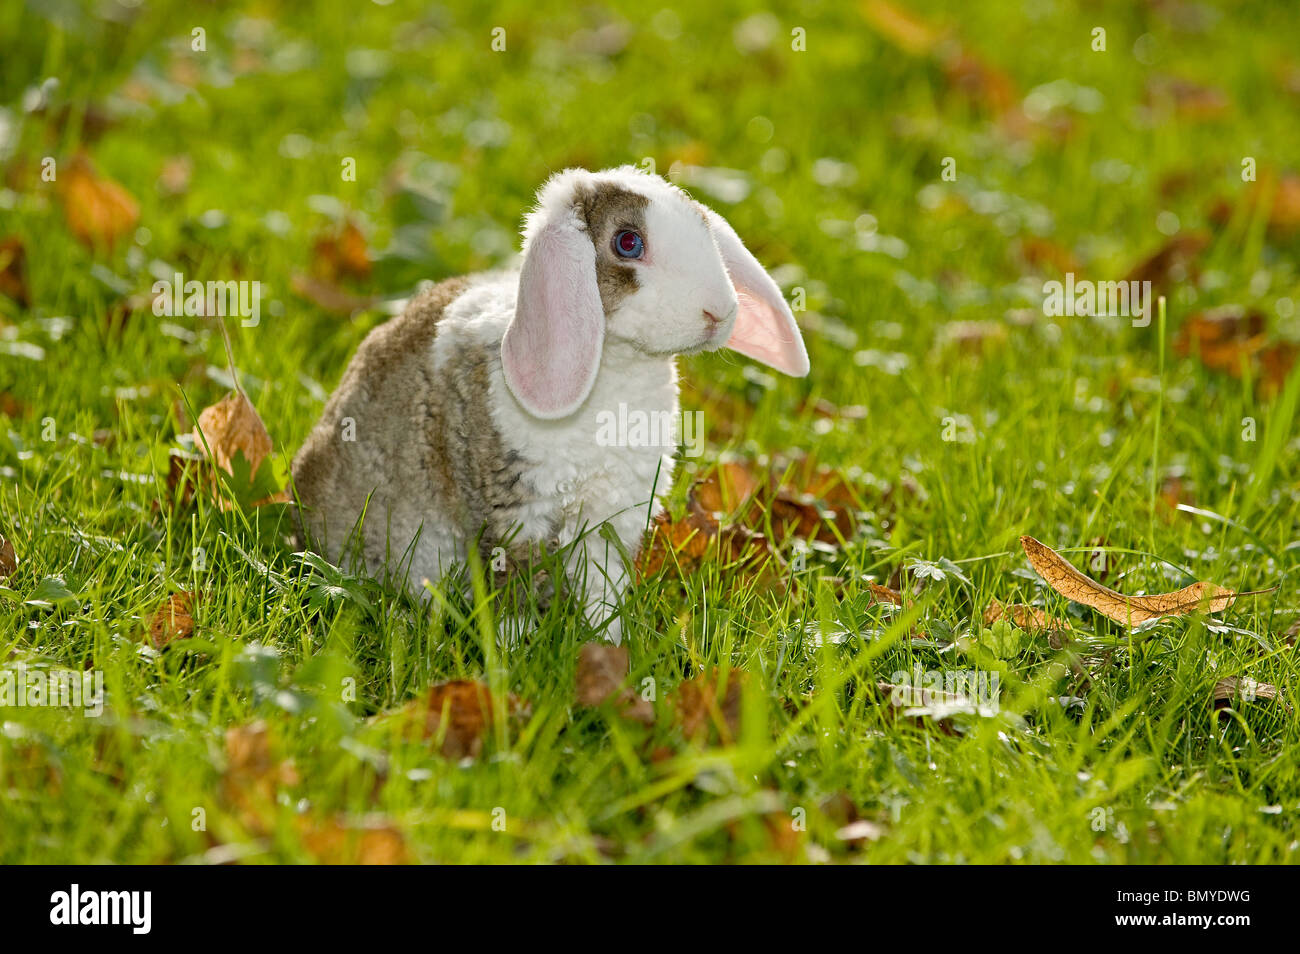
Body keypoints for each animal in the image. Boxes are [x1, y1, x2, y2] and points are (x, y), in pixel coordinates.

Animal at [291, 165, 809, 644]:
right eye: (628, 243)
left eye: (704, 226)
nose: (719, 312)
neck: (612, 367)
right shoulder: (517, 509)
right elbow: (514, 583)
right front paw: (514, 651)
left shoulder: (611, 516)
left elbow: (603, 589)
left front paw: (607, 645)